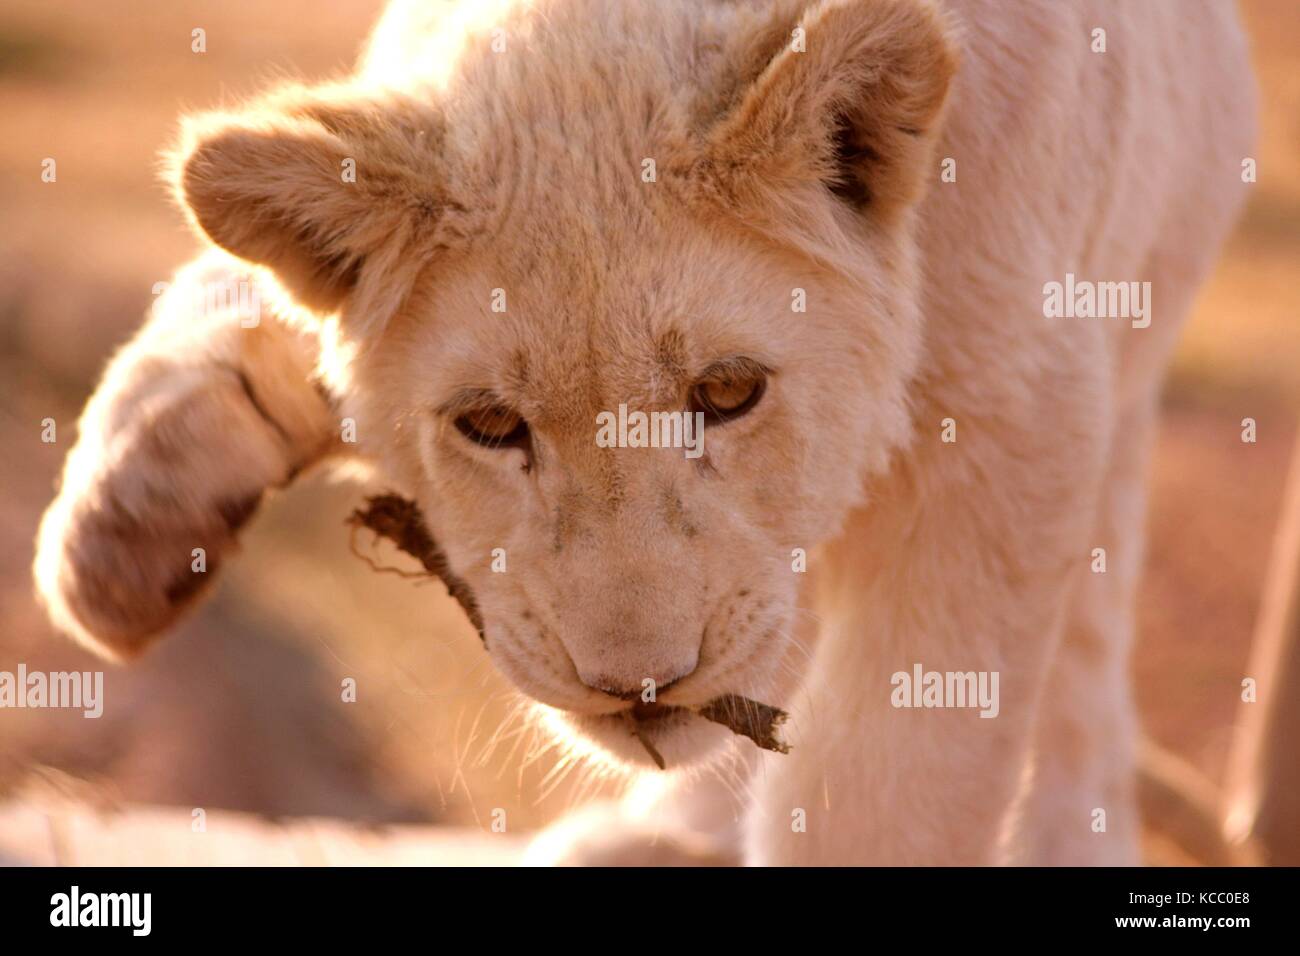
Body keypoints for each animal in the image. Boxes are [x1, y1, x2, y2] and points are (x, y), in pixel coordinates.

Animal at [33, 0, 1256, 865]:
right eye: (490, 424)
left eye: (726, 391)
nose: (642, 687)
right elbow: (234, 279)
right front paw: (122, 531)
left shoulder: (1016, 411)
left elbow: (891, 783)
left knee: (1079, 684)